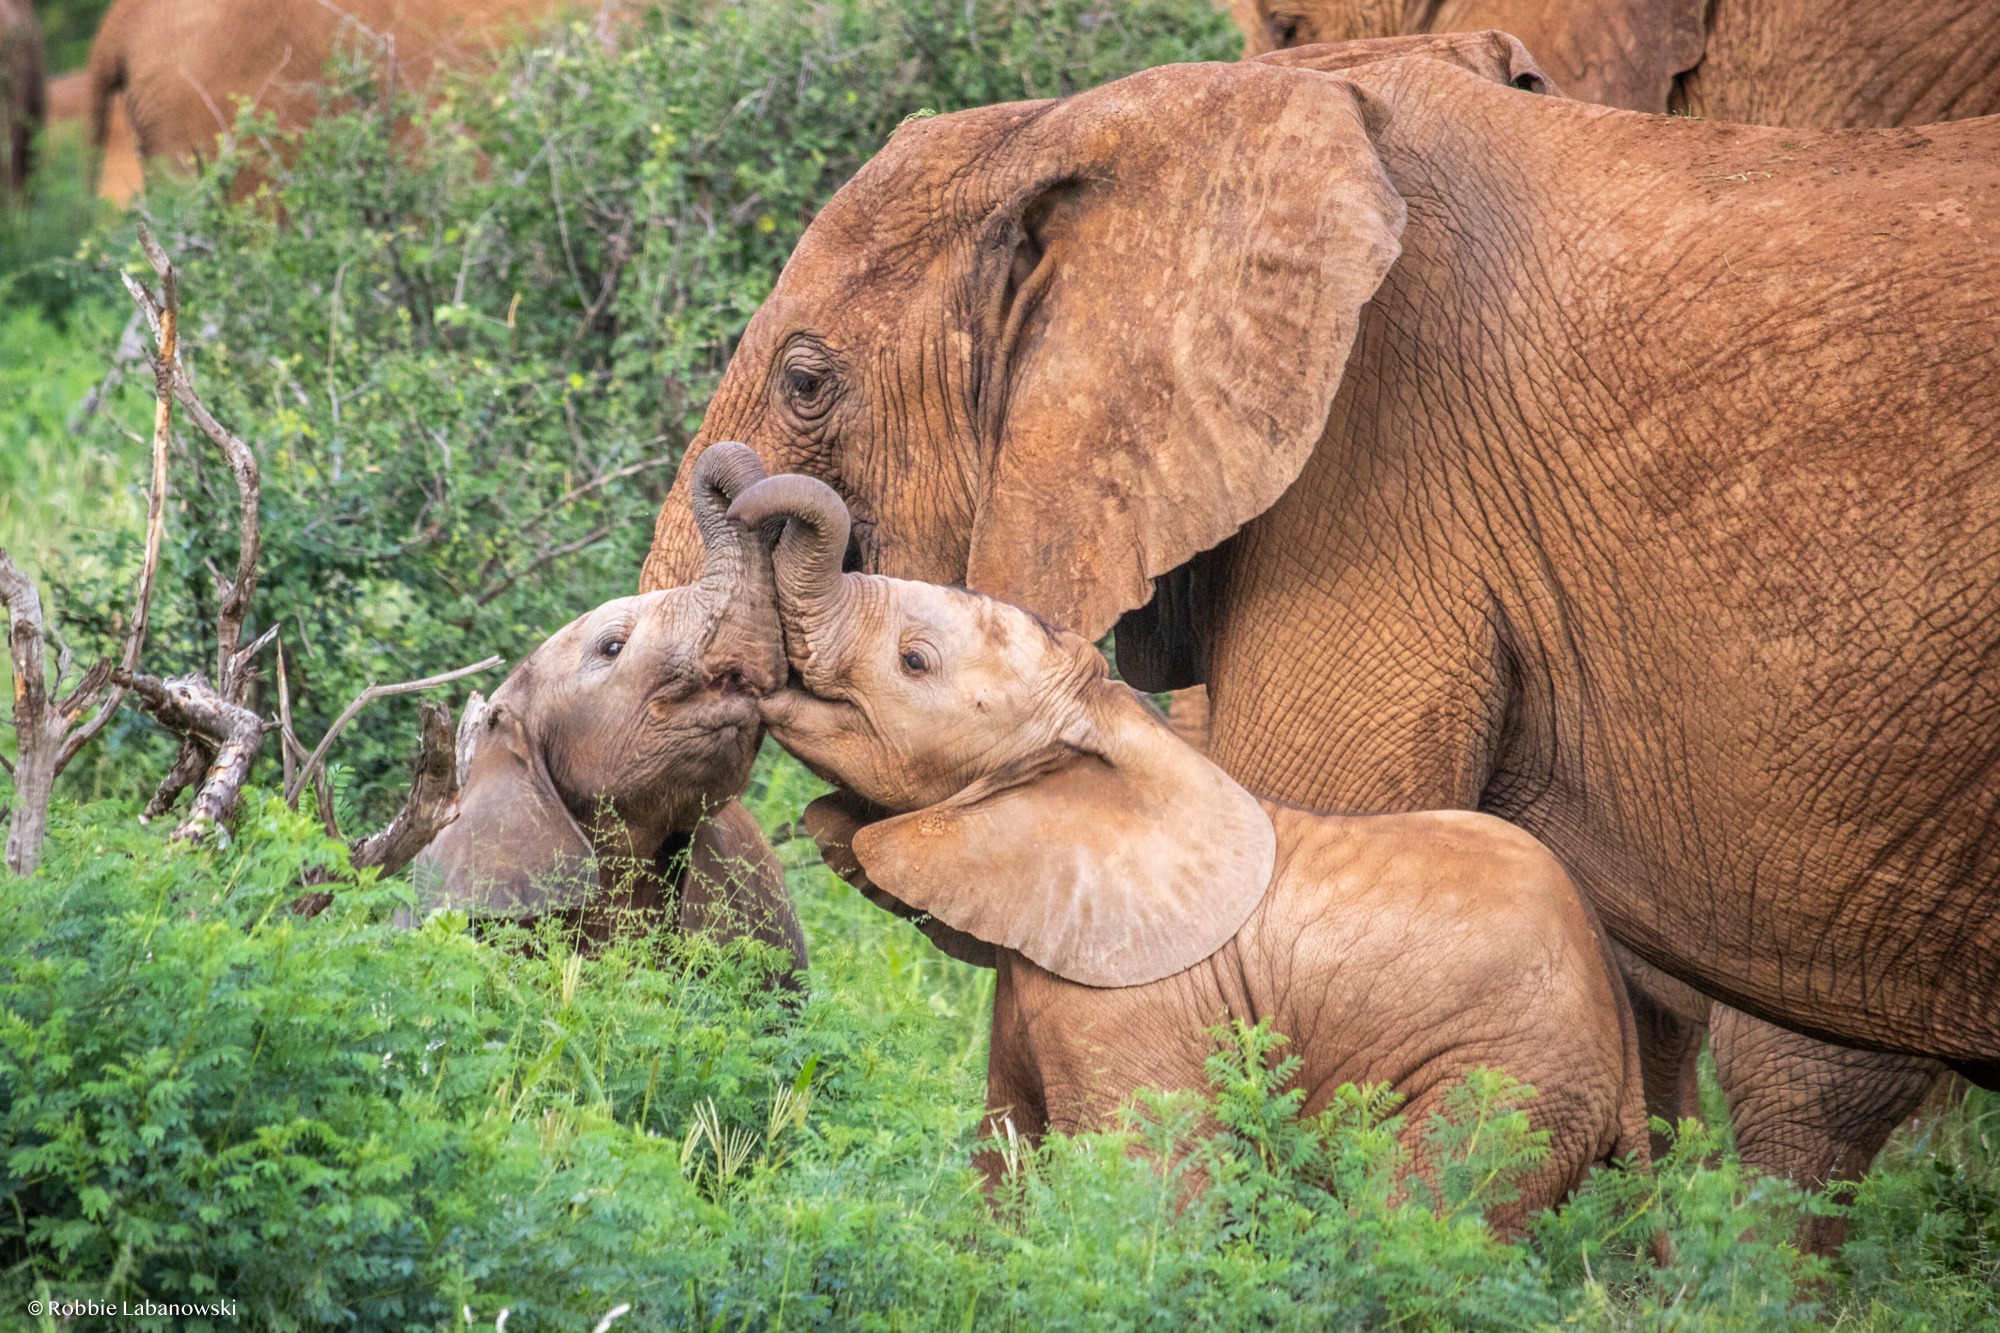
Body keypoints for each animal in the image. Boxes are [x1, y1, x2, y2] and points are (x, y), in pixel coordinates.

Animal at [729, 471, 1649, 1227]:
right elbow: (1007, 1159)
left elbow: (1149, 1183)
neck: (1108, 720)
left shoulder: (1138, 997)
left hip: (1505, 1078)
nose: (736, 497)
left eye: (914, 661)